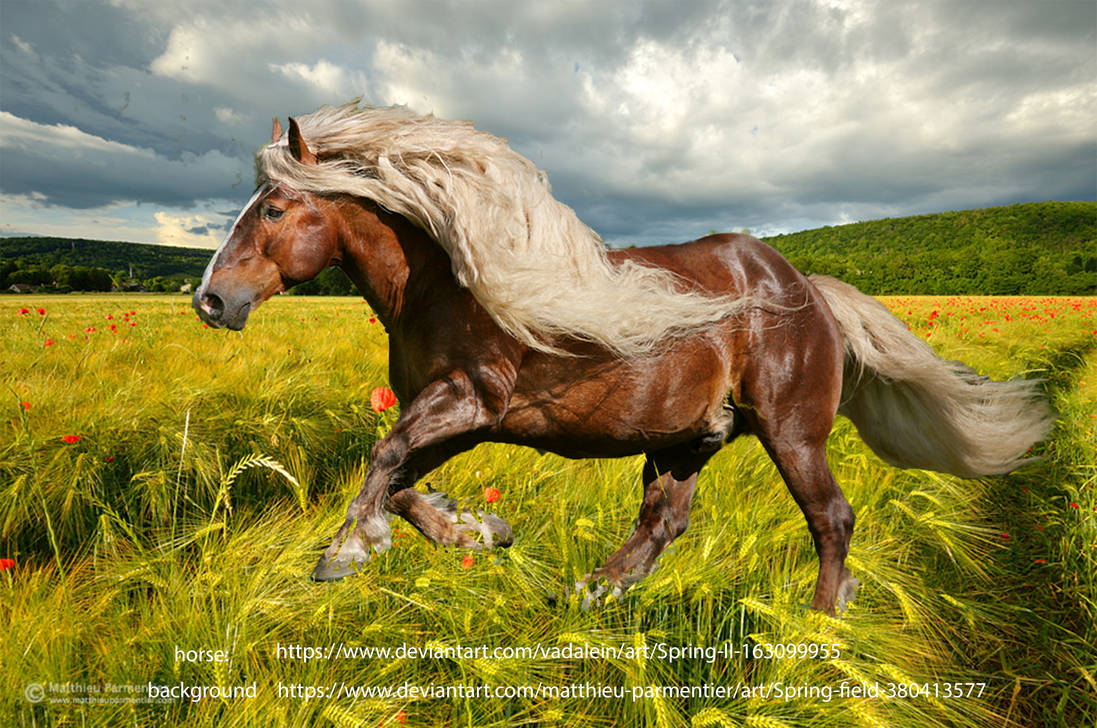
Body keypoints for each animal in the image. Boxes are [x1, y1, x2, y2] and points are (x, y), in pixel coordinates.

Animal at [193, 102, 1052, 615]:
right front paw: (477, 531)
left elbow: (384, 460)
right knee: (665, 519)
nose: (211, 301)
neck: (444, 282)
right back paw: (595, 589)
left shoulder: (469, 399)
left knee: (829, 517)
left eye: (274, 209)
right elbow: (400, 480)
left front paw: (345, 553)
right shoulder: (458, 417)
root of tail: (807, 290)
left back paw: (817, 633)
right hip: (686, 437)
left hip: (790, 431)